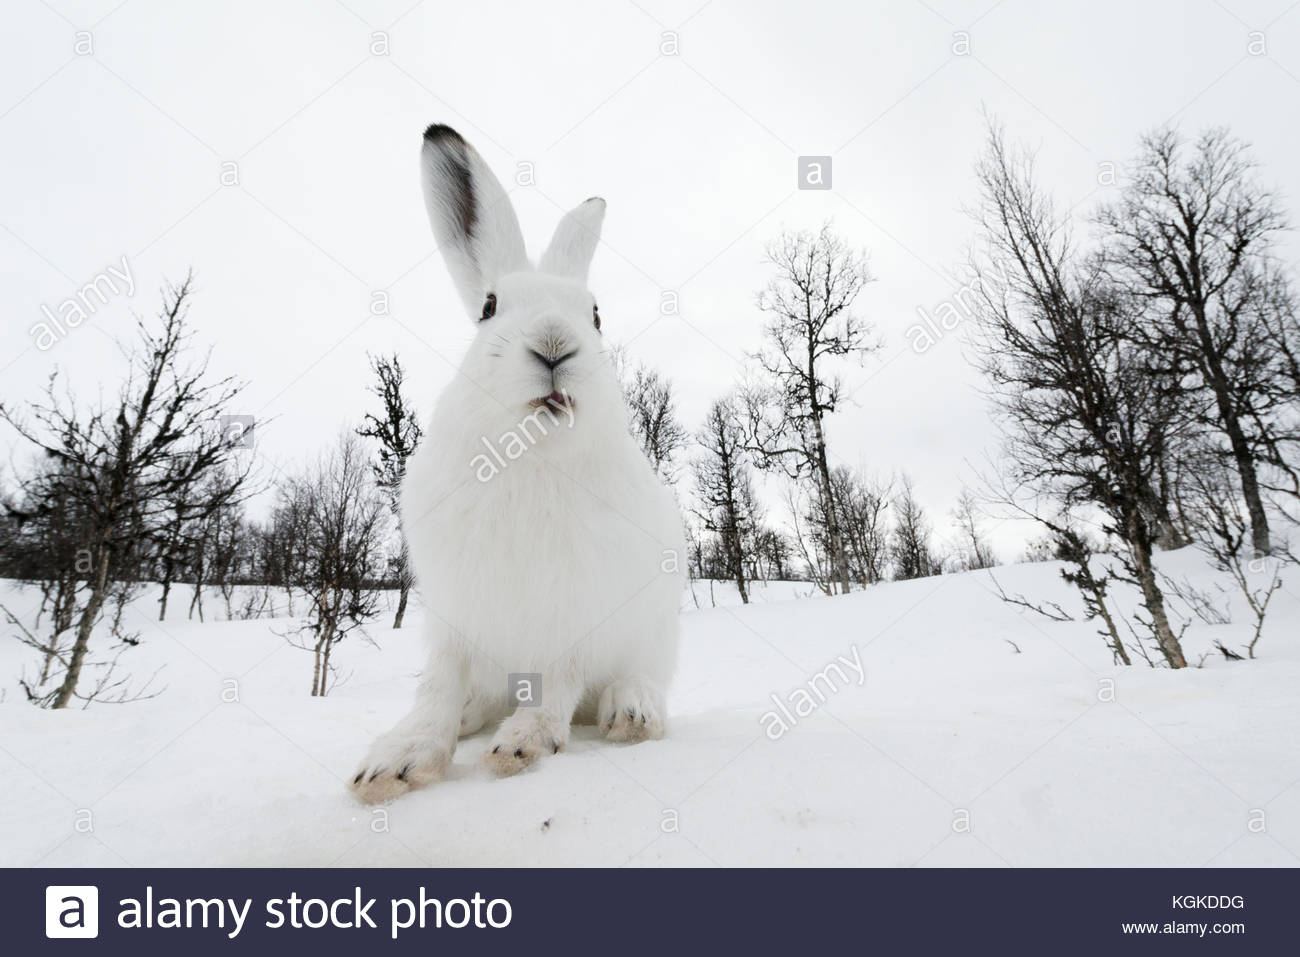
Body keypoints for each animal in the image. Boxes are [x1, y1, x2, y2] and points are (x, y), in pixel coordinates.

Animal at [350, 124, 686, 803]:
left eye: (595, 315)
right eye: (489, 306)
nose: (554, 343)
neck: (527, 449)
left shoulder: (576, 616)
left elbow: (558, 683)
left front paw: (523, 745)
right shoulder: (453, 615)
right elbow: (437, 685)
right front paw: (398, 760)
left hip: (654, 633)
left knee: (633, 682)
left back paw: (630, 713)